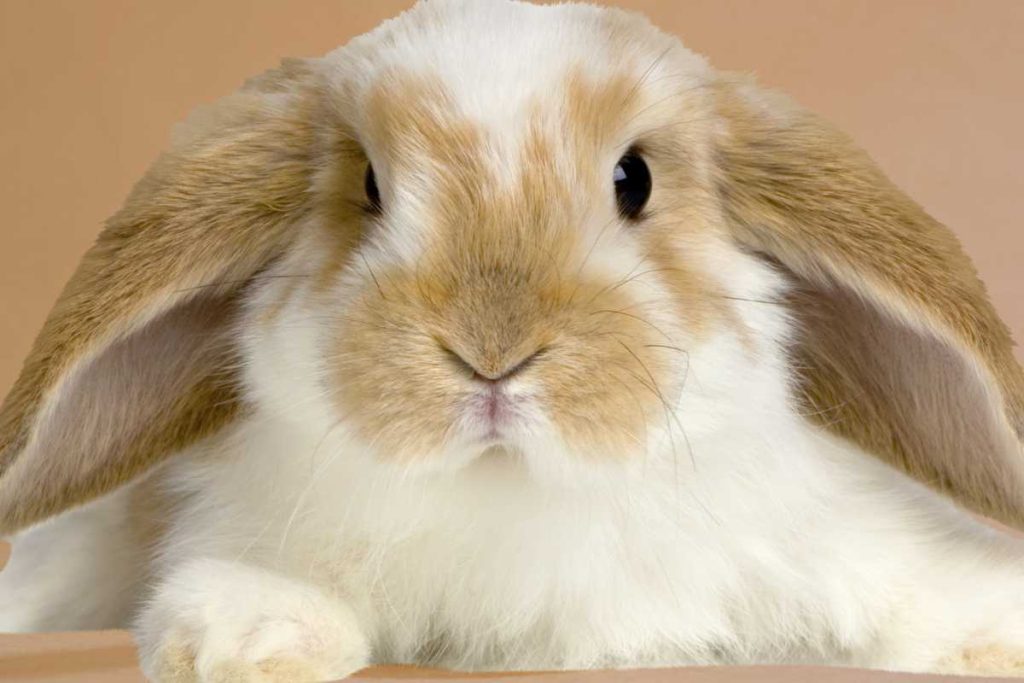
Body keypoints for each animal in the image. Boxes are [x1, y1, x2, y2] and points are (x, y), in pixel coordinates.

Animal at [2, 0, 1024, 680]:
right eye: (368, 186)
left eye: (634, 178)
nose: (491, 351)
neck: (518, 493)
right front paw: (246, 635)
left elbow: (917, 589)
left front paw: (994, 626)